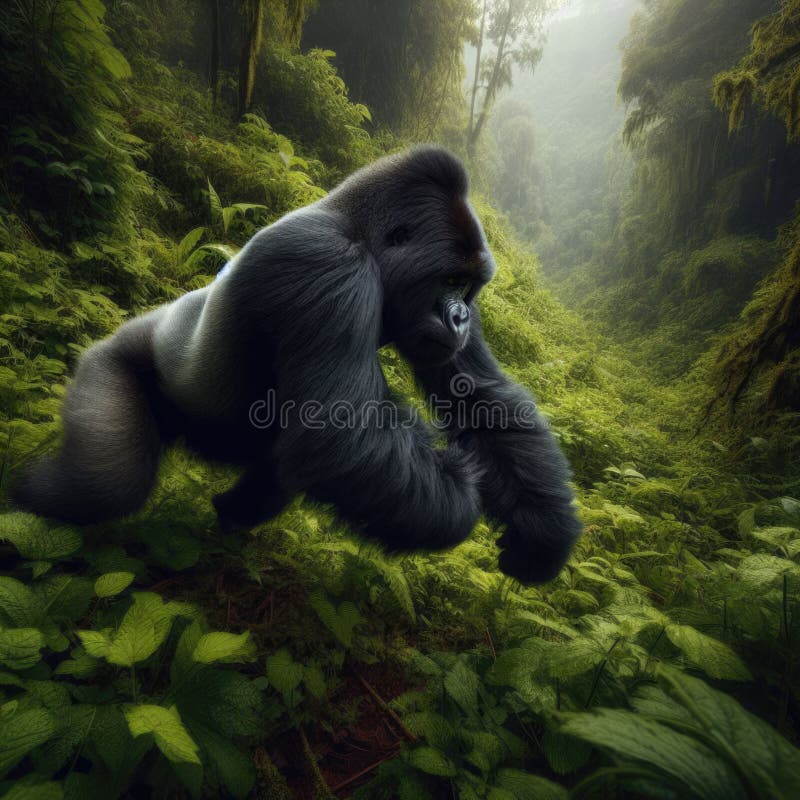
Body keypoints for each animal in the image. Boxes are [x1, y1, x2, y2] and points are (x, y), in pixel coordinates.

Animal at [14, 146, 581, 584]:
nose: (461, 317)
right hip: (114, 358)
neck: (358, 227)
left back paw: (230, 519)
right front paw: (465, 495)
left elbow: (482, 397)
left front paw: (543, 533)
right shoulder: (327, 260)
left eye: (468, 290)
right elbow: (342, 433)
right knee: (106, 482)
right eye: (449, 282)